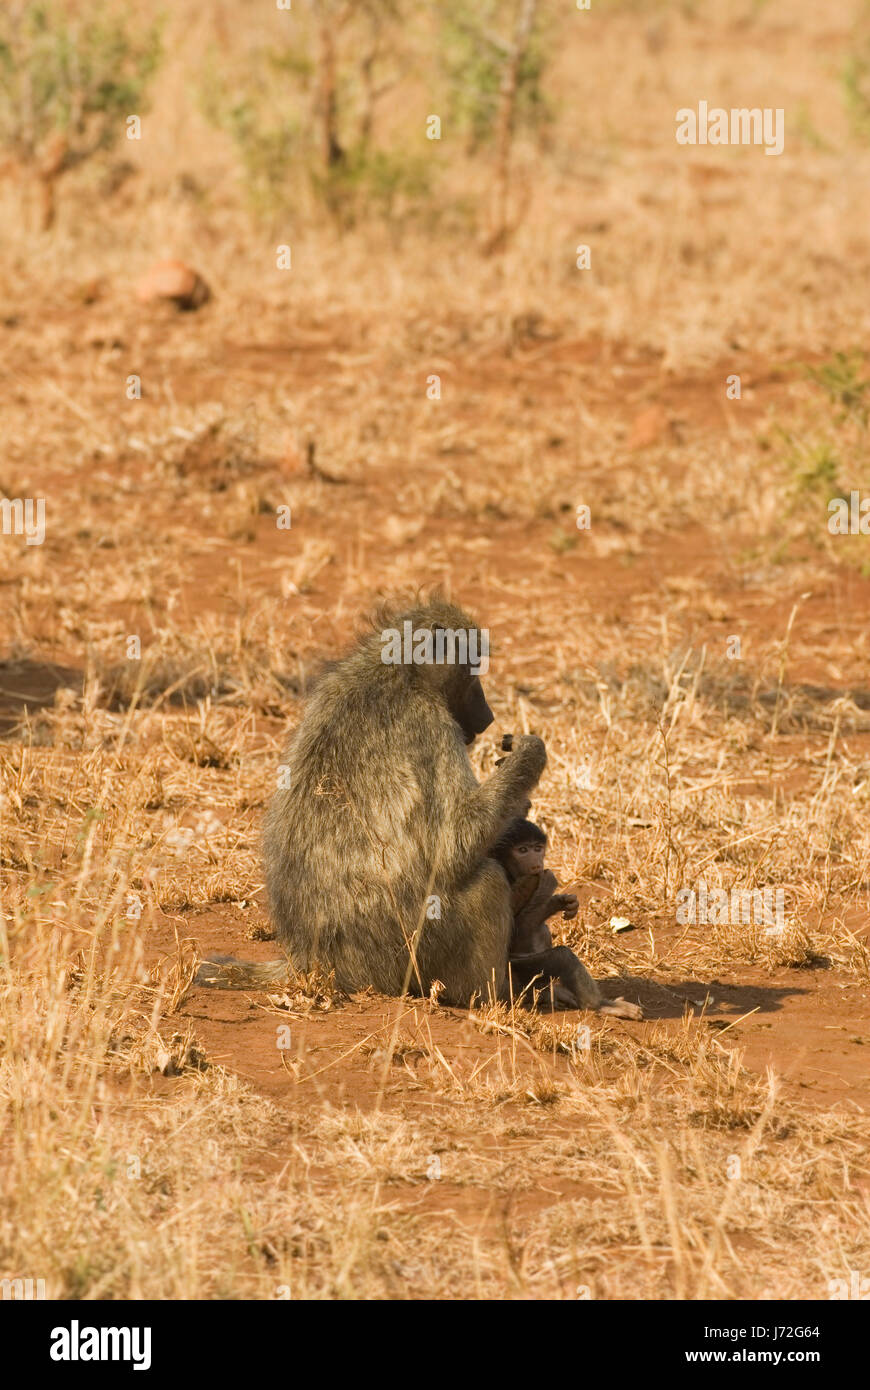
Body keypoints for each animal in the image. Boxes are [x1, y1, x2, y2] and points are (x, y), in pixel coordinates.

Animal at [196, 598, 547, 1005]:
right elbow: (452, 846)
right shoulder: (430, 722)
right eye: (471, 670)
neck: (400, 671)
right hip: (407, 952)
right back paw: (495, 995)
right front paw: (529, 757)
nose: (487, 716)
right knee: (485, 882)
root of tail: (309, 960)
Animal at [489, 810, 643, 1020]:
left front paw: (563, 902)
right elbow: (516, 930)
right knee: (562, 957)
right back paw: (600, 1005)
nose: (536, 863)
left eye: (537, 848)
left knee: (542, 931)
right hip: (511, 977)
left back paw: (550, 993)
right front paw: (547, 883)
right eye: (522, 850)